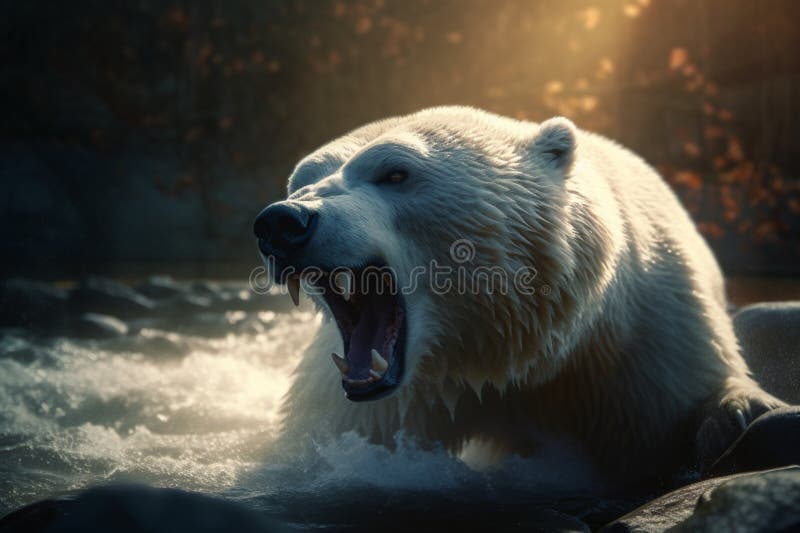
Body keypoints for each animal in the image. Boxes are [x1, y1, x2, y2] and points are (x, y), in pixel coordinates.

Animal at [252, 106, 782, 492]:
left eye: (395, 173)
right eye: (301, 179)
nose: (282, 221)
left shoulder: (647, 339)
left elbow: (693, 395)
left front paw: (739, 412)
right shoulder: (383, 405)